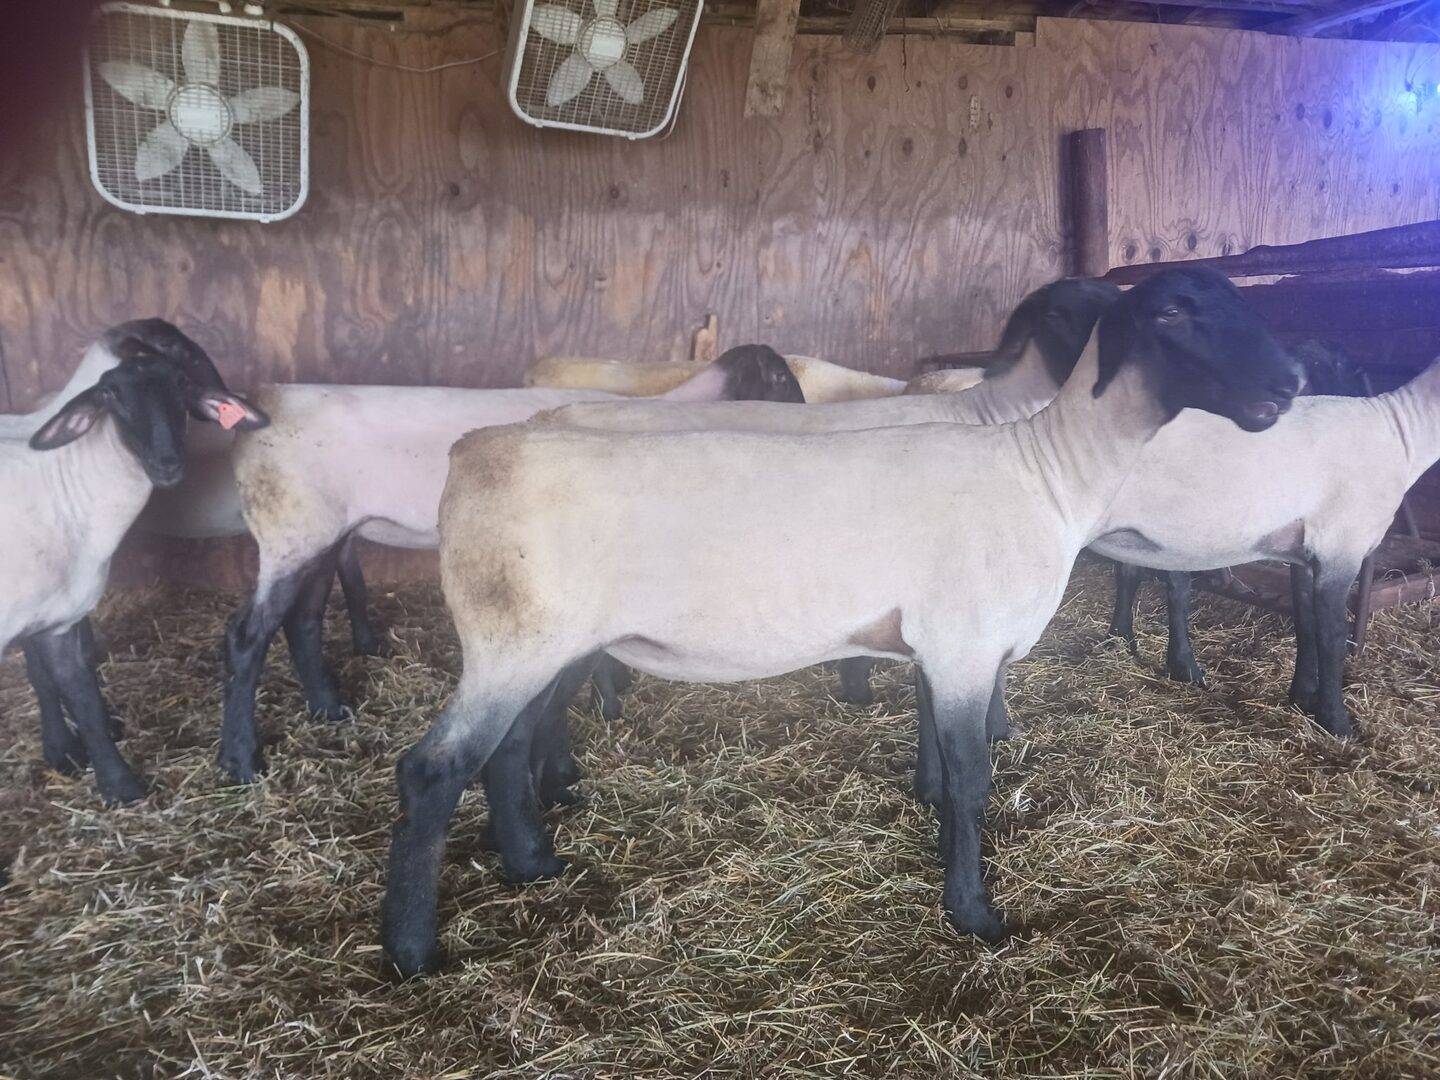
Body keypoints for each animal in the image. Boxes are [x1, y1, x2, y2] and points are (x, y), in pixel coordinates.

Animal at [215, 345, 804, 783]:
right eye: (781, 376)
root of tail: (262, 402)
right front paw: (610, 702)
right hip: (292, 528)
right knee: (247, 636)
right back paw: (241, 760)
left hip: (325, 534)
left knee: (302, 620)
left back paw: (328, 707)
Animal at [377, 267, 1302, 976]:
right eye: (1173, 312)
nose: (1291, 382)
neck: (1044, 466)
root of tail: (477, 454)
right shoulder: (967, 642)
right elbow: (973, 778)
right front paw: (973, 911)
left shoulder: (940, 640)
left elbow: (943, 757)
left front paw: (935, 828)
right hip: (511, 636)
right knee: (433, 769)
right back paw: (412, 950)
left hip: (540, 643)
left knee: (506, 750)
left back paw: (534, 864)